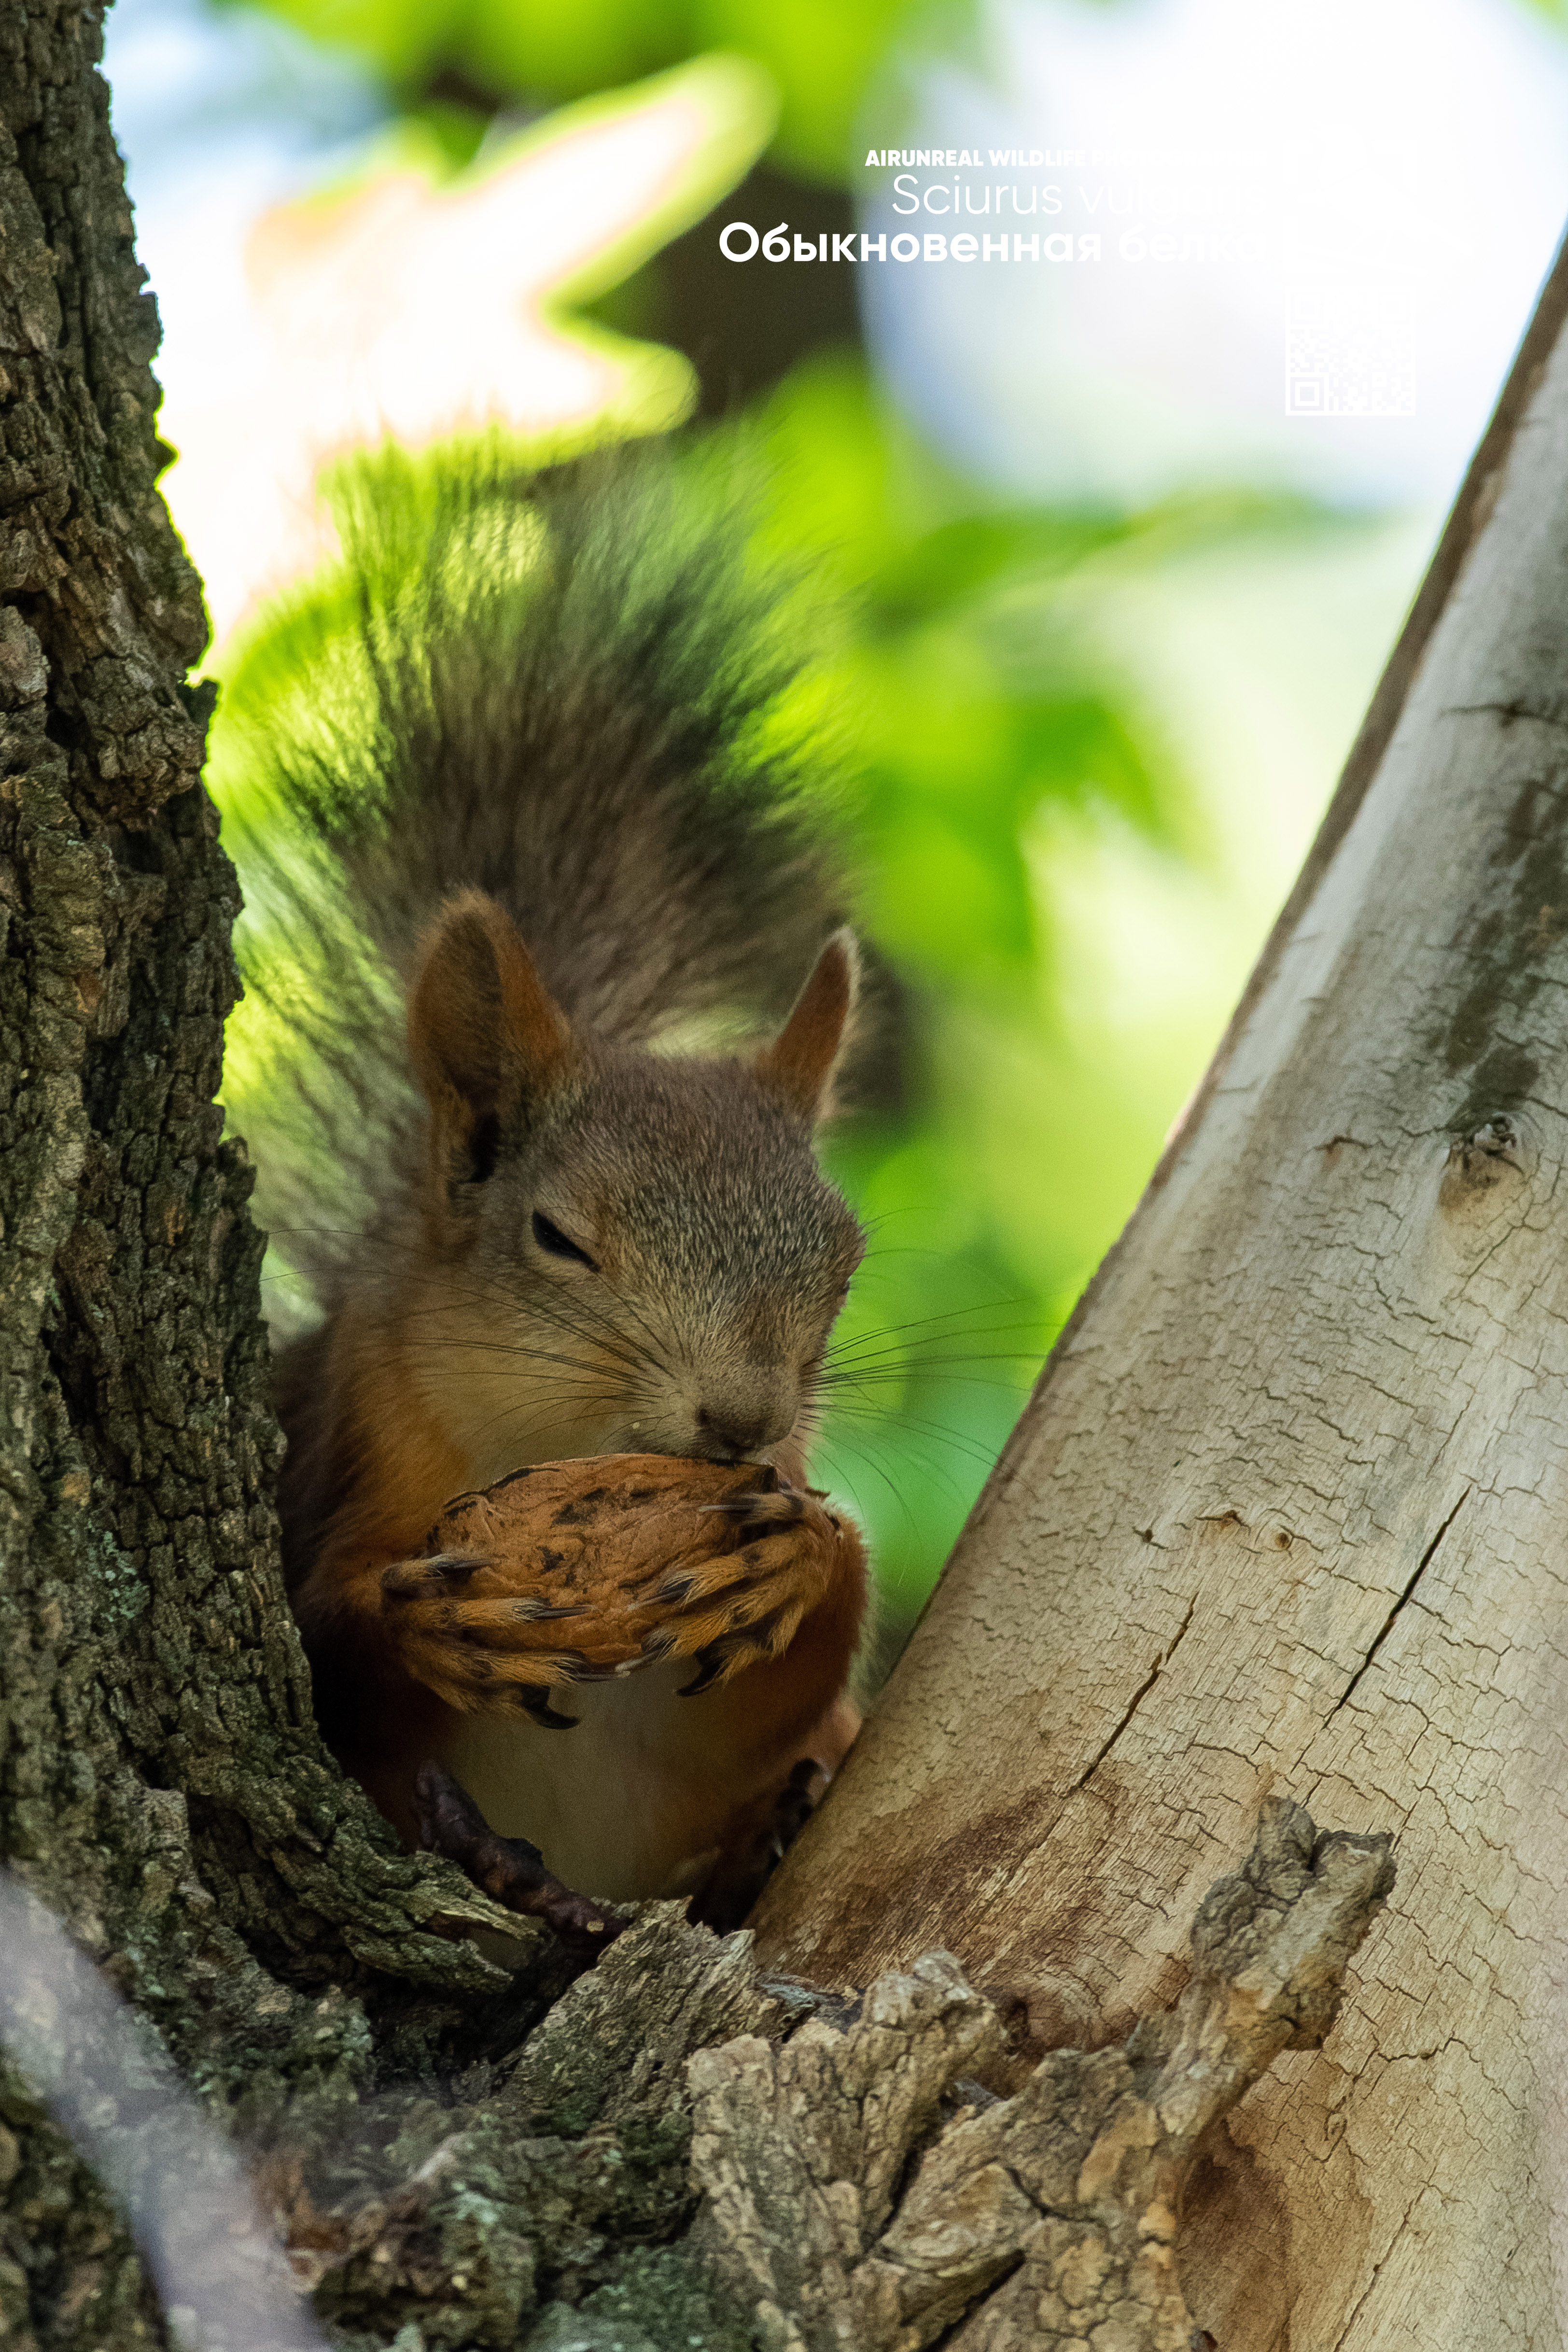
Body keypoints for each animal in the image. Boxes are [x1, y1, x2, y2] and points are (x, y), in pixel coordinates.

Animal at [231, 444, 869, 1929]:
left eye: (843, 1260)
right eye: (558, 1239)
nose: (744, 1422)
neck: (550, 1441)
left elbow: (793, 1688)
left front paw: (796, 1562)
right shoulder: (352, 1445)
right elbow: (325, 1638)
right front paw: (419, 1616)